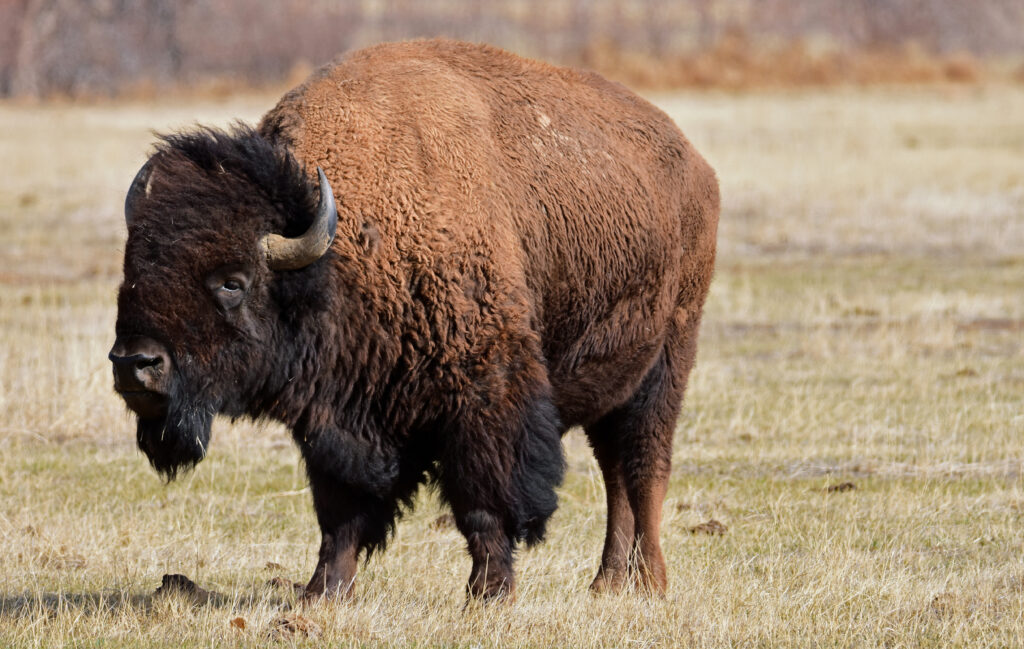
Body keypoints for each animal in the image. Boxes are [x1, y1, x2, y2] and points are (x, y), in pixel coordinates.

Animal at [110, 39, 719, 601]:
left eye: (232, 282)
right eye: (132, 269)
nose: (134, 363)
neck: (346, 245)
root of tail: (696, 165)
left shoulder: (486, 396)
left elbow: (485, 503)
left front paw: (488, 593)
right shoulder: (337, 417)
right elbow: (340, 510)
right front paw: (323, 591)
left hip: (668, 362)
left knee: (644, 468)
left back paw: (649, 582)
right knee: (616, 470)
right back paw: (608, 583)